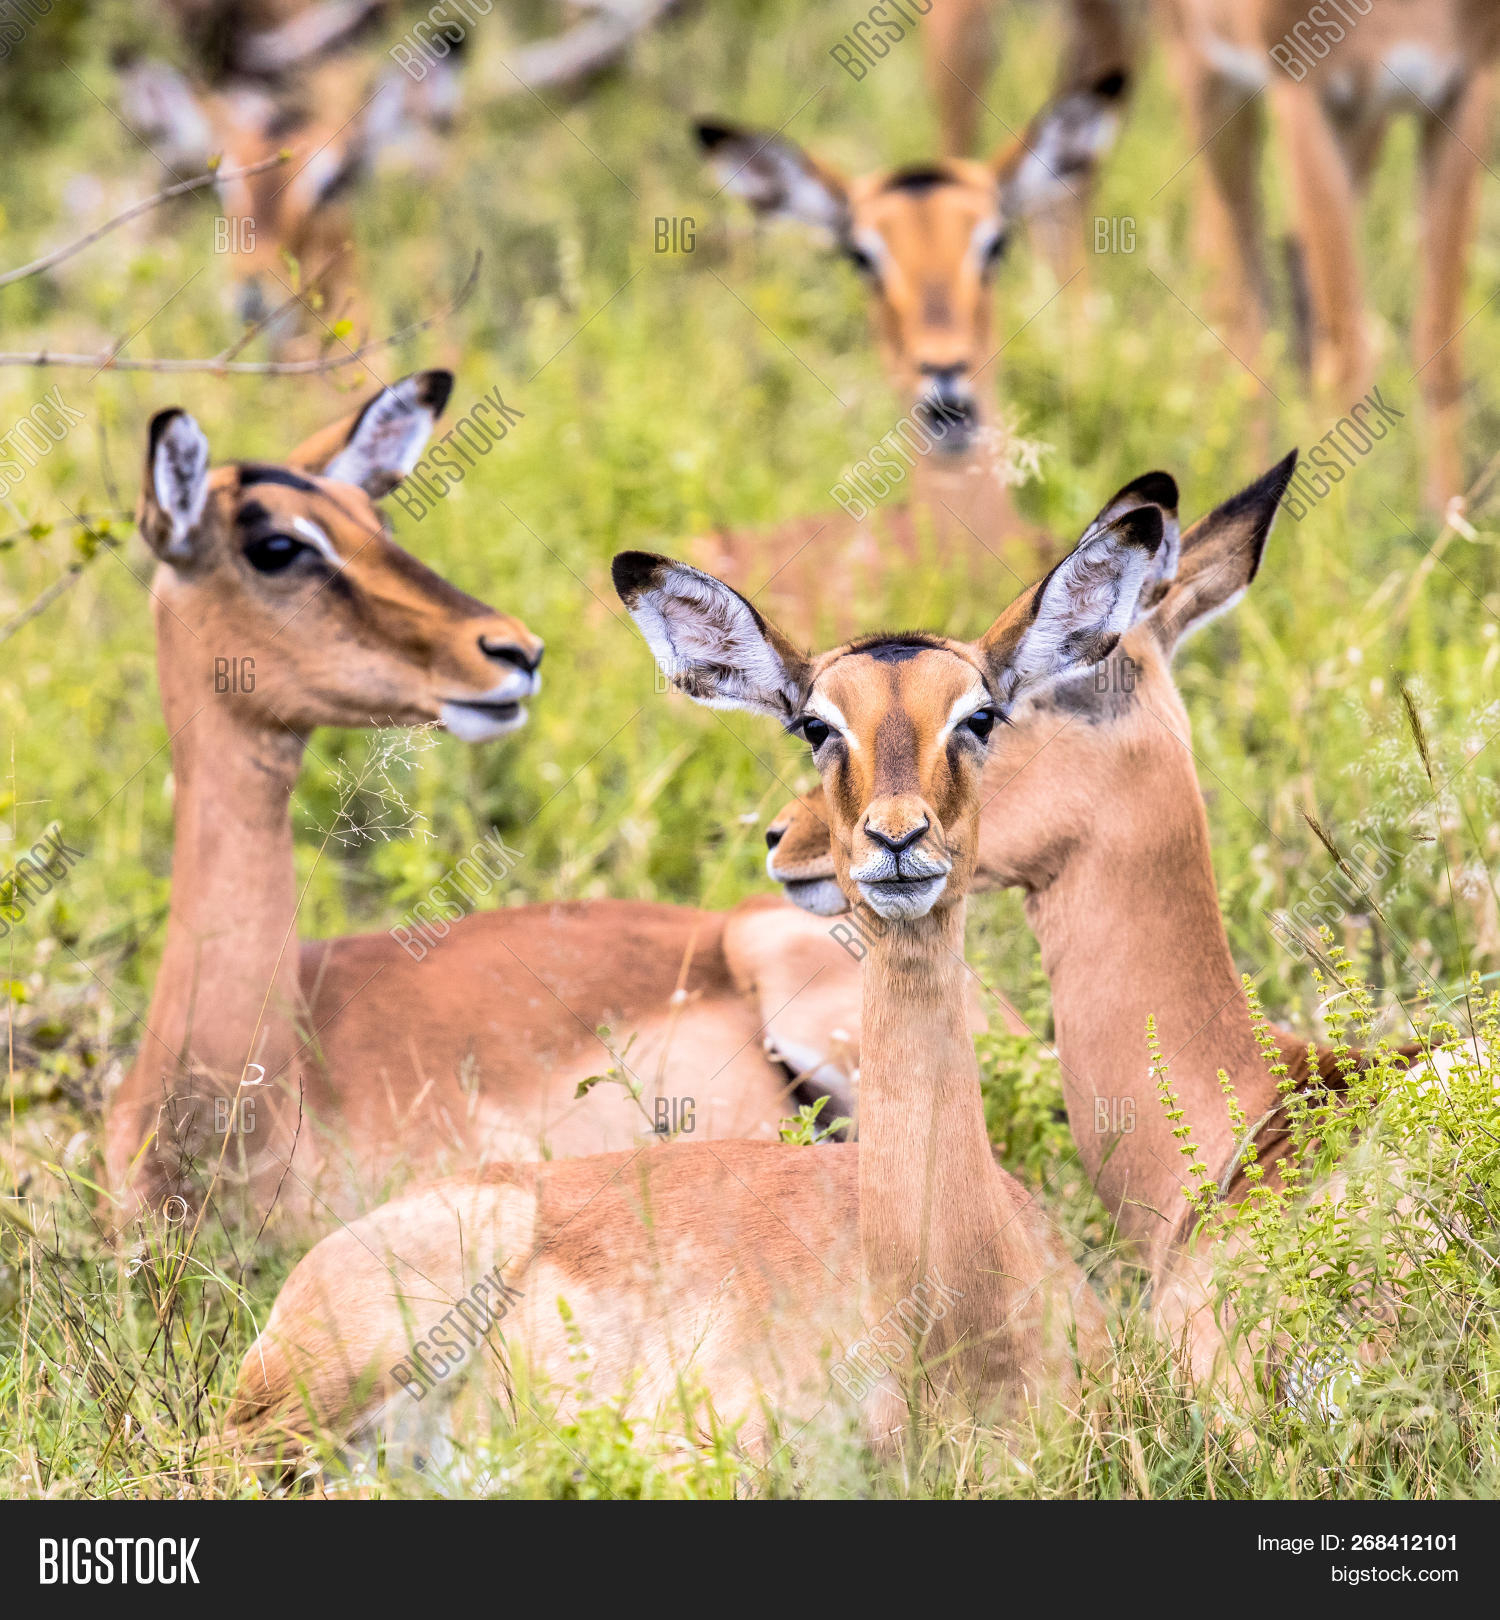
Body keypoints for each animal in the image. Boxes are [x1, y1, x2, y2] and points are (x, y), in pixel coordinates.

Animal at [1157, 0, 1500, 510]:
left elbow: (1441, 342)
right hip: (1203, 75)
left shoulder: (1465, 88)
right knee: (1237, 295)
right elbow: (1345, 352)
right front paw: (1342, 523)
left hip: (1361, 125)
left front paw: (1444, 514)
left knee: (1274, 260)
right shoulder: (1300, 91)